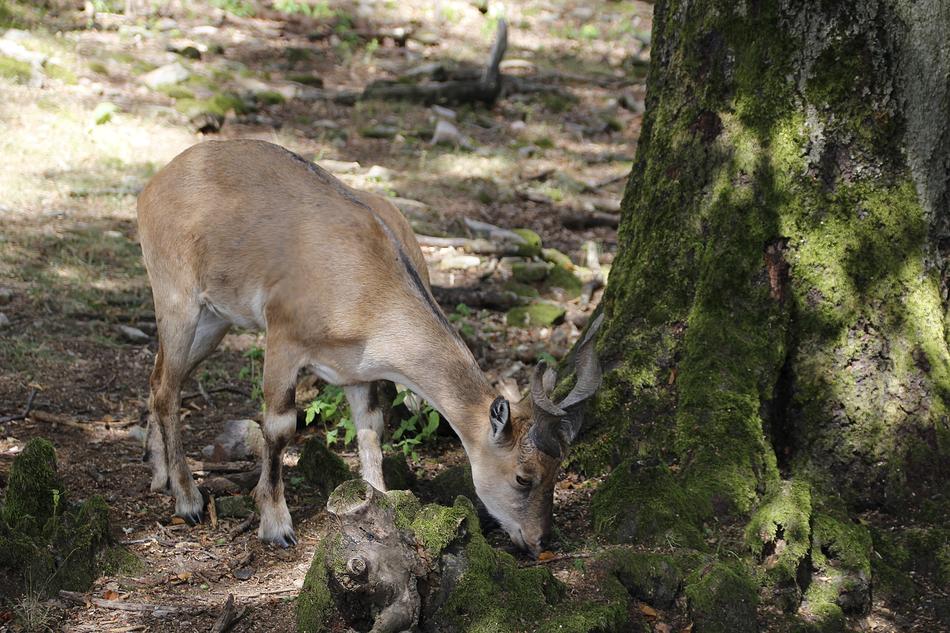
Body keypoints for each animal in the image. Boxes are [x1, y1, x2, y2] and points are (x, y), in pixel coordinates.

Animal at [136, 139, 602, 555]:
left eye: (557, 471)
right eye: (524, 477)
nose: (539, 541)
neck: (368, 286)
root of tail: (154, 186)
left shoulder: (357, 370)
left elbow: (371, 429)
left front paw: (380, 505)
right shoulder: (284, 337)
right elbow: (280, 426)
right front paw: (276, 526)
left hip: (215, 320)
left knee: (159, 379)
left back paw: (159, 474)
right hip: (178, 297)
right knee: (168, 389)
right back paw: (188, 500)